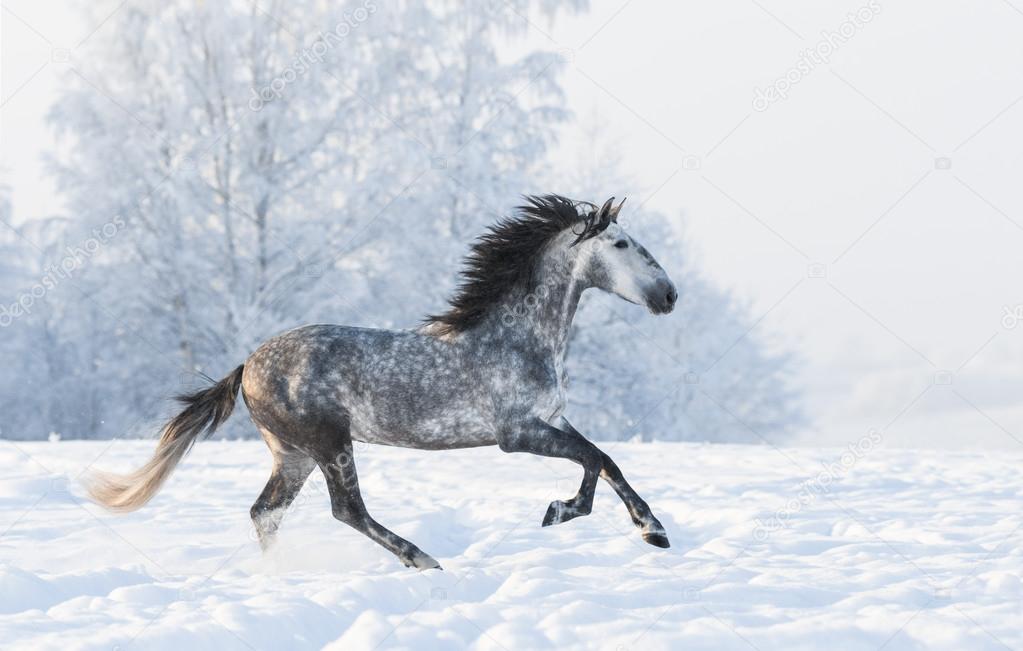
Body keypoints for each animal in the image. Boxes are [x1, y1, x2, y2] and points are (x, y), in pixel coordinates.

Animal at [86, 195, 678, 570]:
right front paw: (561, 512)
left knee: (265, 512)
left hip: (293, 454)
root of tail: (248, 365)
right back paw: (423, 560)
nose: (669, 295)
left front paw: (654, 531)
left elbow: (605, 459)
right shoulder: (516, 434)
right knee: (346, 510)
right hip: (329, 442)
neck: (517, 337)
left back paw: (280, 574)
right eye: (621, 244)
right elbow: (593, 460)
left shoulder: (551, 419)